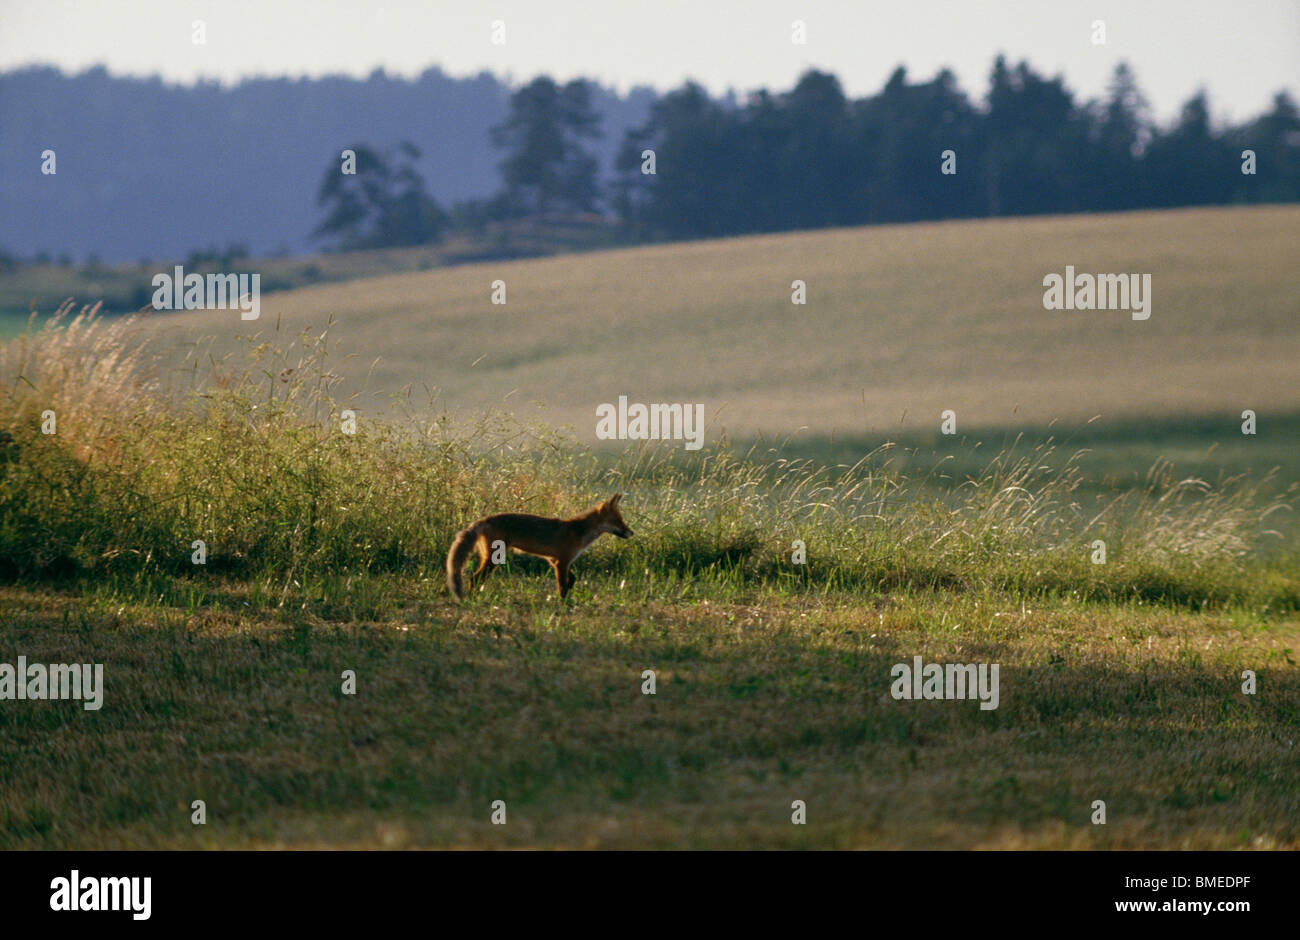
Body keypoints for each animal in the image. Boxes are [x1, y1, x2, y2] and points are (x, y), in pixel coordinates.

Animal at [446, 493, 633, 601]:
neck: (579, 532)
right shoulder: (562, 562)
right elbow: (562, 587)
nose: (632, 532)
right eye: (619, 521)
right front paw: (564, 605)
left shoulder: (556, 561)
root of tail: (484, 519)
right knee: (473, 579)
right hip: (494, 560)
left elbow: (571, 579)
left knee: (475, 579)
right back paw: (472, 600)